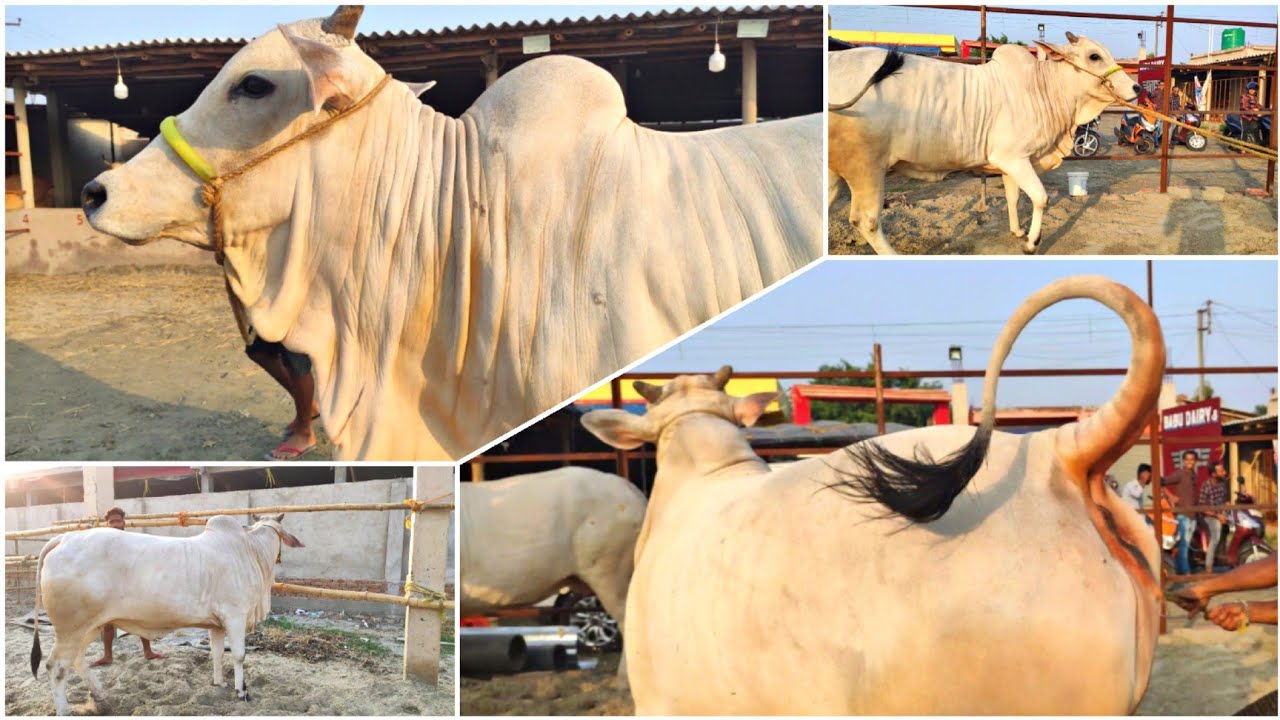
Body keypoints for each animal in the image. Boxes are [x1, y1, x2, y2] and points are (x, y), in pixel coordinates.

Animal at [30, 514, 304, 715]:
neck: (249, 551)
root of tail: (63, 538)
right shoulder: (235, 615)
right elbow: (239, 656)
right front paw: (242, 691)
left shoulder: (217, 624)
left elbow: (216, 653)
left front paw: (219, 683)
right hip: (71, 628)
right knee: (56, 667)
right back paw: (65, 710)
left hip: (89, 626)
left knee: (76, 660)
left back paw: (100, 696)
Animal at [828, 34, 1140, 255]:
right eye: (1094, 56)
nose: (1136, 87)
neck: (1042, 88)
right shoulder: (1014, 158)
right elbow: (1040, 198)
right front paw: (1031, 242)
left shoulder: (1012, 163)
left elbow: (1014, 197)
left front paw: (1017, 232)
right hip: (866, 168)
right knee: (866, 221)